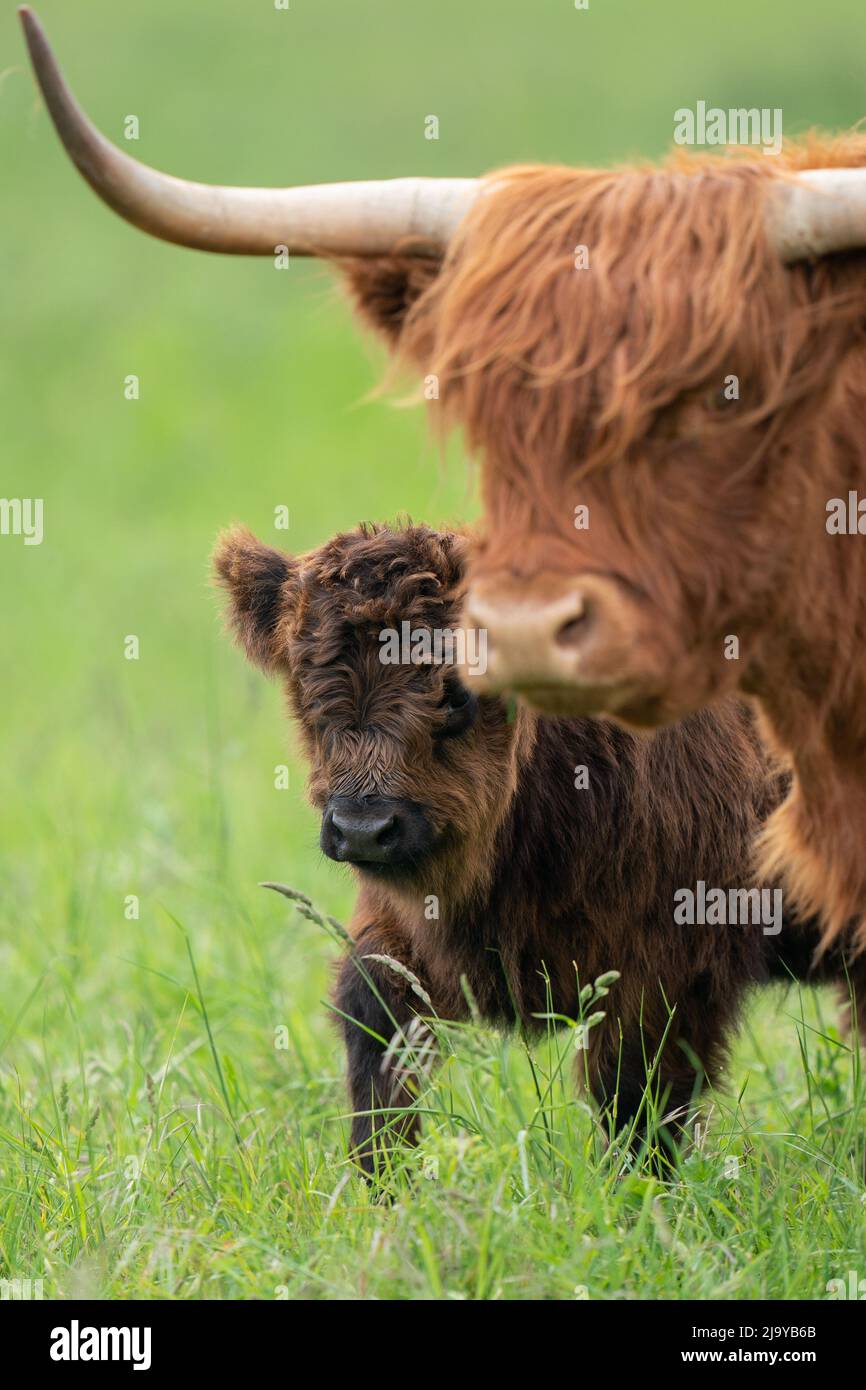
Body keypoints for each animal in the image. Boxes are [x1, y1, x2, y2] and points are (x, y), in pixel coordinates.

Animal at [213, 520, 859, 1179]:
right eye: (304, 684)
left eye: (457, 692)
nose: (364, 827)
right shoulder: (403, 932)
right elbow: (374, 1032)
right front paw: (384, 1186)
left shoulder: (671, 964)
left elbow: (636, 1091)